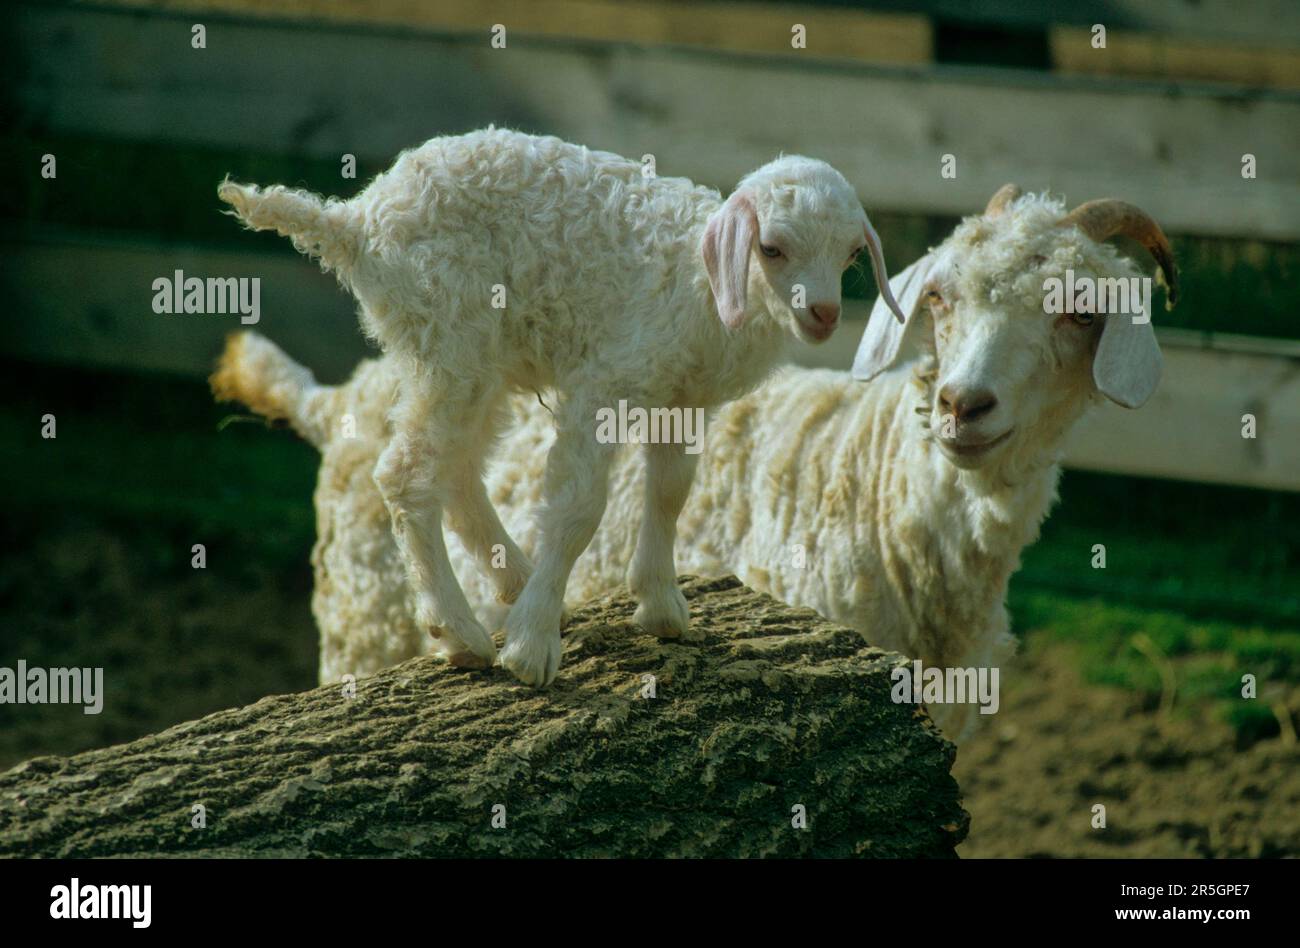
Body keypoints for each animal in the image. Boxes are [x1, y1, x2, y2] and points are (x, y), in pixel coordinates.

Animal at [213, 184, 1177, 738]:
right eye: (938, 296)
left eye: (1082, 311)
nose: (961, 406)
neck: (867, 484)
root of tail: (339, 398)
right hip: (361, 617)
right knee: (418, 481)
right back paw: (473, 627)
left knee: (458, 471)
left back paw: (515, 588)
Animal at [217, 127, 902, 687]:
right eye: (772, 248)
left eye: (851, 255)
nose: (824, 314)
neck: (700, 283)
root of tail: (356, 219)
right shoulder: (604, 384)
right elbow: (578, 511)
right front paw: (532, 649)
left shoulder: (677, 400)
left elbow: (670, 492)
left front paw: (661, 607)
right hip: (450, 335)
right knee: (406, 476)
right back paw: (463, 634)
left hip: (473, 358)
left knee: (459, 472)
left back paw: (514, 583)